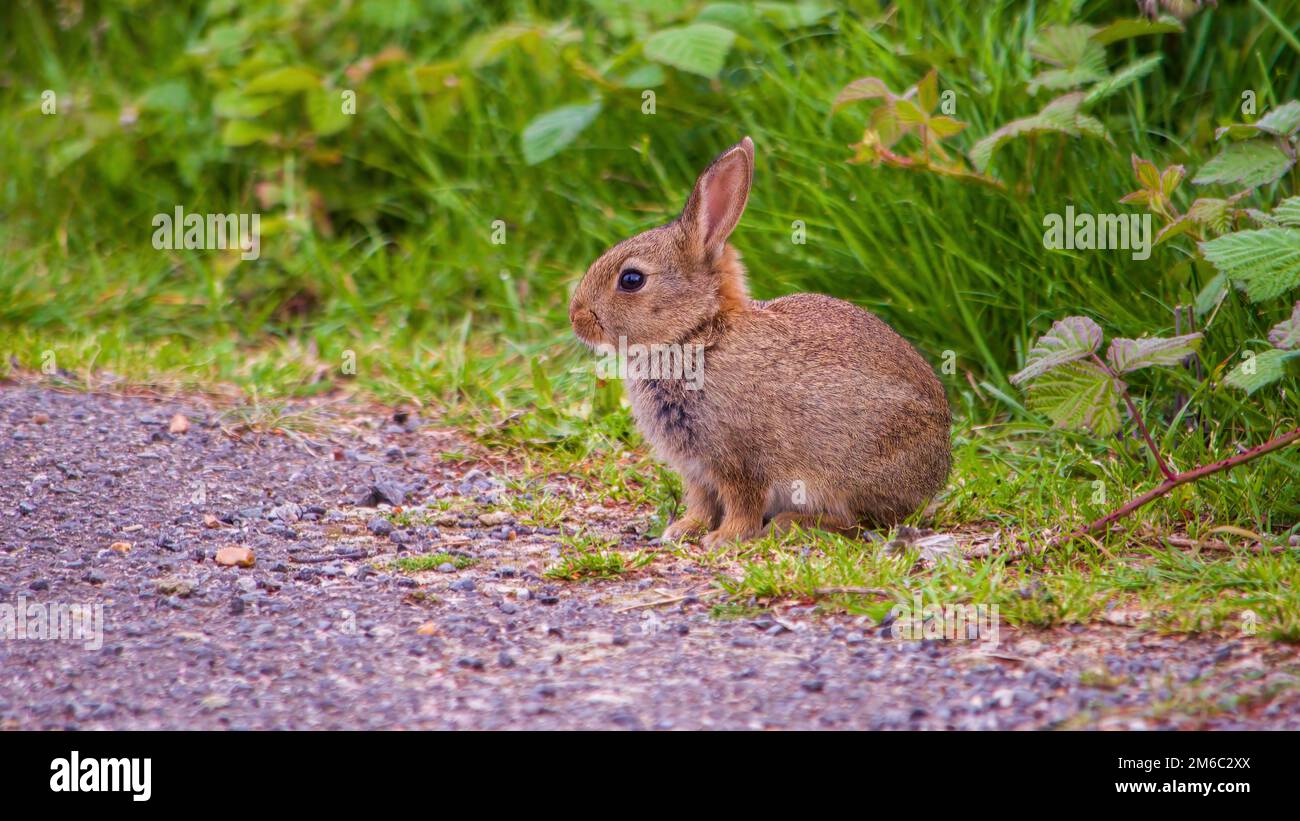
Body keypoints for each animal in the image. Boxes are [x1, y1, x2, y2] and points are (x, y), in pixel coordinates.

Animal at [569, 136, 951, 547]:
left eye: (631, 280)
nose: (576, 318)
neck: (698, 333)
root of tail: (935, 475)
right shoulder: (697, 470)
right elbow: (700, 502)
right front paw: (683, 529)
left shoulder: (740, 460)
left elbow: (743, 501)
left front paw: (724, 538)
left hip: (851, 471)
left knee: (858, 521)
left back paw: (790, 523)